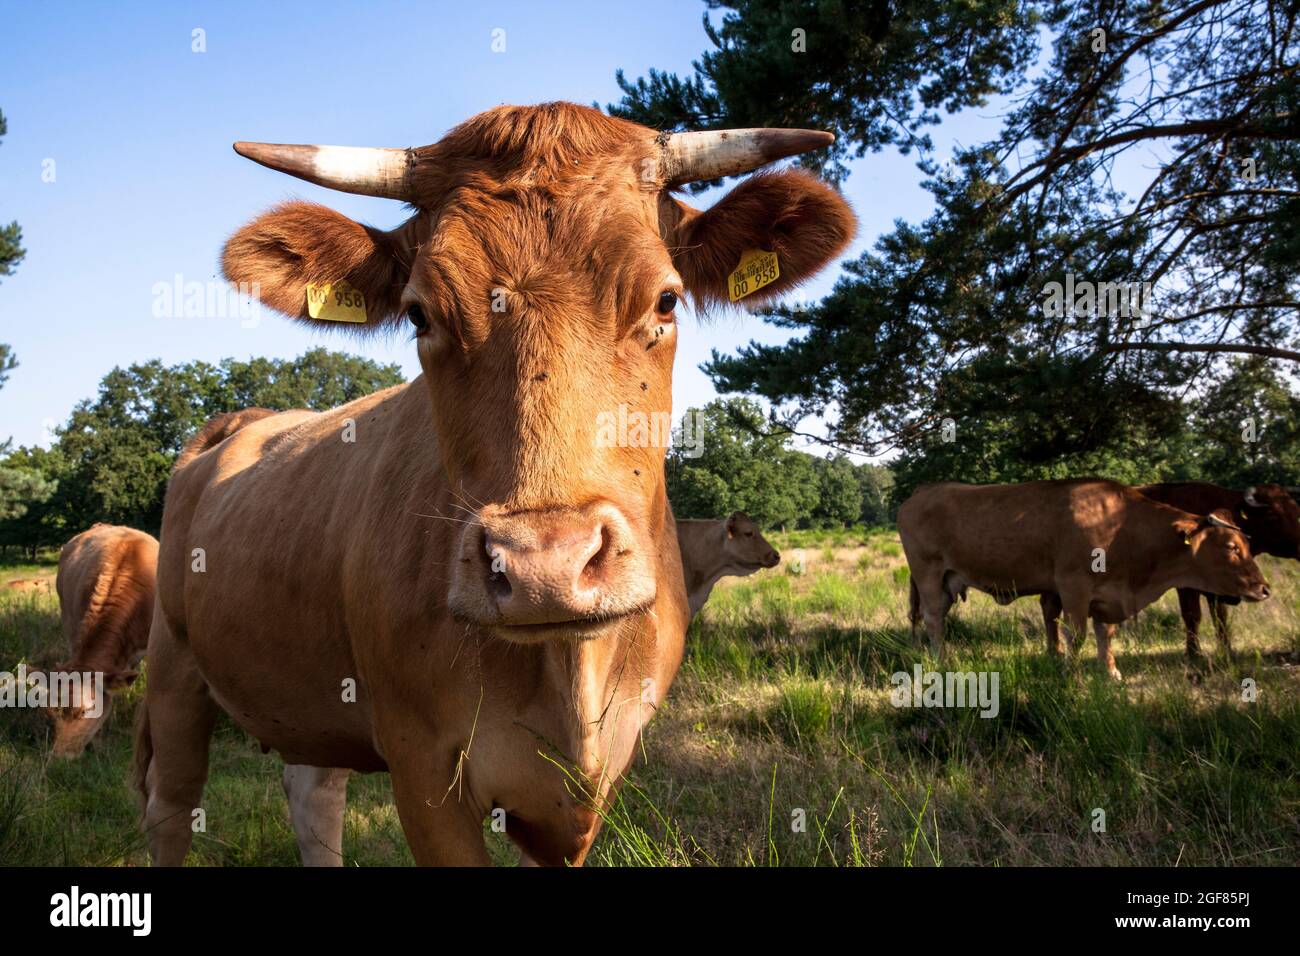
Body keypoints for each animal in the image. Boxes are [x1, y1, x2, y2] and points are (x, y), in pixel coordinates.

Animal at [133, 101, 856, 866]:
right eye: (420, 313)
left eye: (666, 300)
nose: (546, 567)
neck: (570, 676)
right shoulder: (422, 769)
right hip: (173, 668)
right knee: (171, 808)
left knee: (313, 797)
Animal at [898, 479, 1270, 680]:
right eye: (1231, 547)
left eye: (1246, 544)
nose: (1263, 588)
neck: (1122, 525)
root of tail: (923, 492)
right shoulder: (1072, 584)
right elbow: (1075, 633)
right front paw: (1070, 673)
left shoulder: (1108, 592)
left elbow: (1106, 633)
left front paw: (1111, 672)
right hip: (928, 573)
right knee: (932, 619)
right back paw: (943, 661)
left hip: (948, 581)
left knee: (935, 617)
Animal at [1138, 482, 1300, 661]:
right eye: (1272, 515)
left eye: (1296, 511)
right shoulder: (1186, 587)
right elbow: (1192, 615)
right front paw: (1193, 653)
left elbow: (1220, 617)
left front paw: (1226, 650)